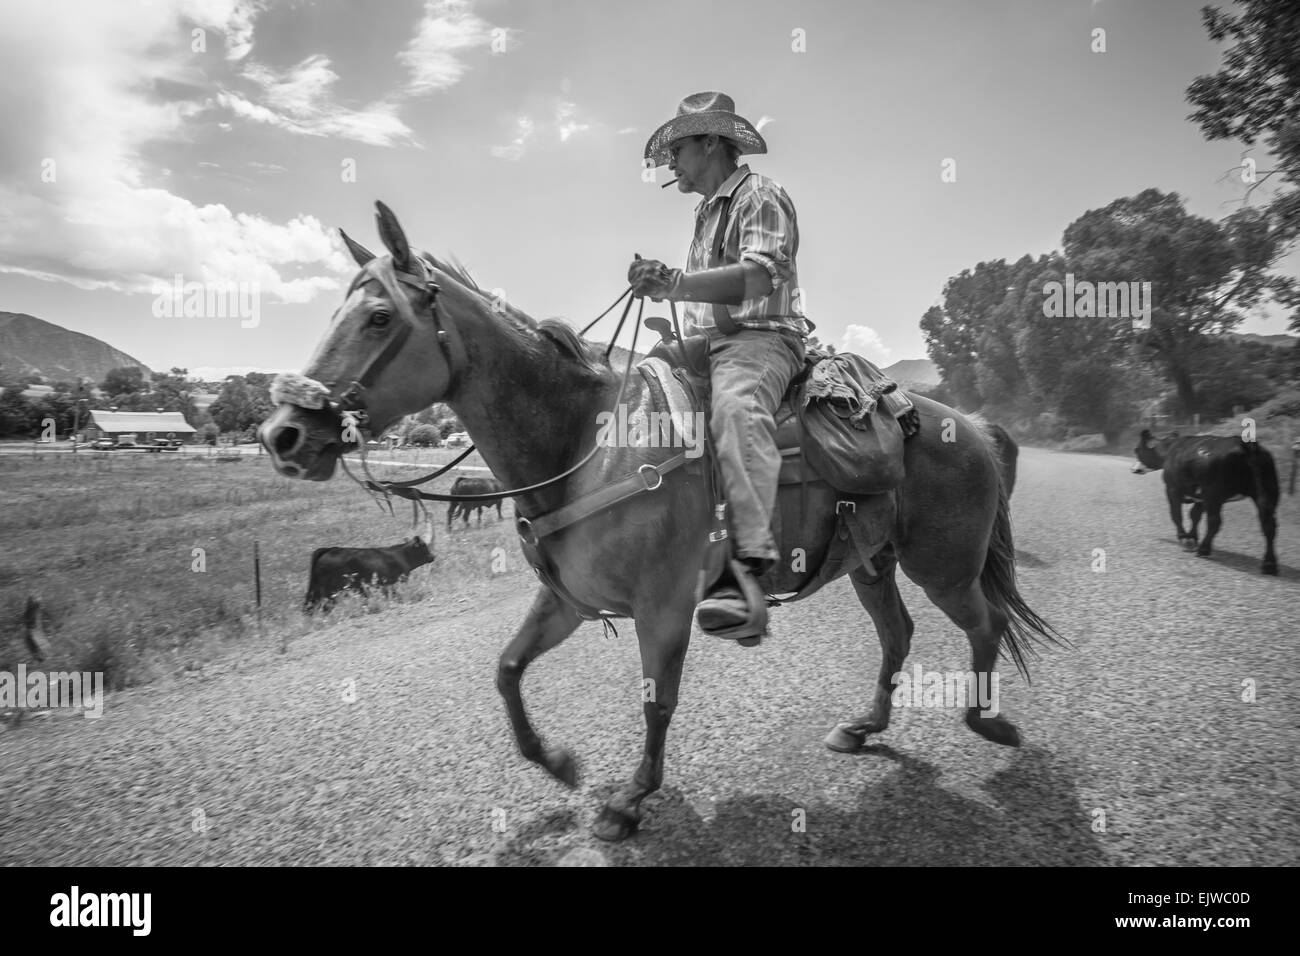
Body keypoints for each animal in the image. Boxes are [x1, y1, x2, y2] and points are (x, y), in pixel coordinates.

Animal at [302, 536, 435, 611]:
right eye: (423, 546)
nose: (433, 556)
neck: (402, 554)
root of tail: (330, 549)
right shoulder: (398, 581)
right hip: (327, 588)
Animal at [1132, 429, 1278, 575]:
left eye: (1137, 450)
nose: (1134, 468)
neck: (1170, 448)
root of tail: (1247, 445)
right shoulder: (1201, 497)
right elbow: (1194, 515)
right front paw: (1192, 537)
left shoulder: (1172, 489)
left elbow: (1176, 514)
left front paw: (1184, 538)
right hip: (1267, 492)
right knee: (1268, 525)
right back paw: (1269, 564)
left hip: (1214, 493)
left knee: (1215, 521)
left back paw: (1204, 549)